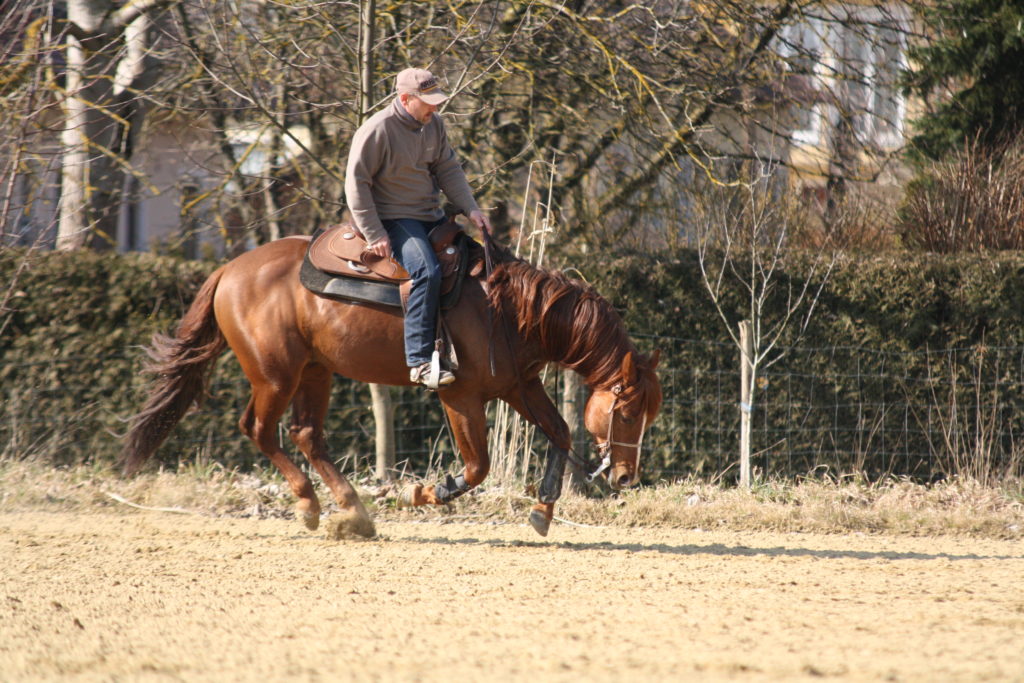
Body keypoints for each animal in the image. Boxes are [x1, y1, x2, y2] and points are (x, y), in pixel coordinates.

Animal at [121, 230, 662, 538]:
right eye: (627, 411)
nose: (625, 477)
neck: (506, 311)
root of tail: (230, 270)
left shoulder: (520, 387)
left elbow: (560, 433)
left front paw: (544, 509)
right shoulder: (459, 396)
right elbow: (478, 467)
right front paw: (420, 494)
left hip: (315, 371)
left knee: (305, 434)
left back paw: (352, 512)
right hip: (275, 375)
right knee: (260, 429)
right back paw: (309, 504)